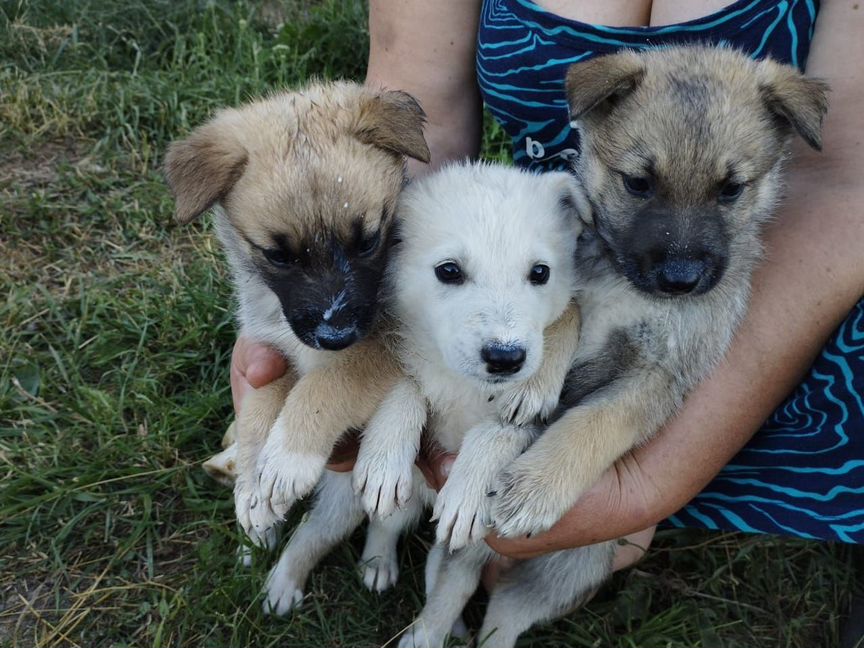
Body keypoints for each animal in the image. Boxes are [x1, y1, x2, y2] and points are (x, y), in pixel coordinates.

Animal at [163, 82, 432, 548]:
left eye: (368, 241)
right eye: (277, 255)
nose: (336, 337)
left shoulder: (382, 343)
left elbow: (327, 385)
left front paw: (288, 459)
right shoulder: (271, 352)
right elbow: (257, 412)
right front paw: (253, 488)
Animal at [486, 46, 832, 536]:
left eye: (731, 189)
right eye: (637, 183)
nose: (680, 280)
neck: (626, 285)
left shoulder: (662, 373)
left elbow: (596, 422)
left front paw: (537, 486)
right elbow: (565, 311)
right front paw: (532, 384)